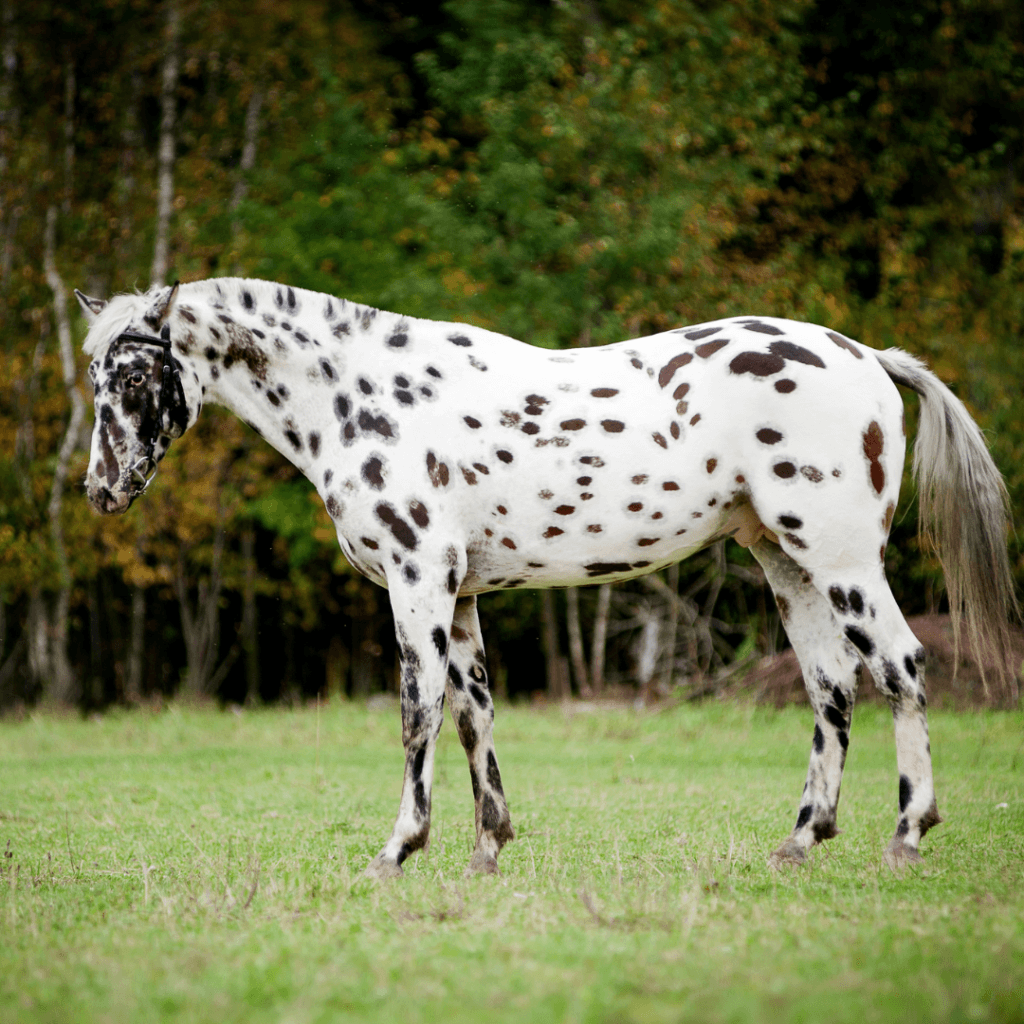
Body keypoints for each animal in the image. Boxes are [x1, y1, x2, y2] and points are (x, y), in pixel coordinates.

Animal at [75, 277, 1017, 876]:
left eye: (137, 372)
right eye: (94, 375)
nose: (102, 488)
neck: (365, 398)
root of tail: (868, 357)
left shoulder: (419, 581)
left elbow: (417, 712)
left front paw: (397, 850)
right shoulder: (459, 595)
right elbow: (472, 716)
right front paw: (487, 847)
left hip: (841, 559)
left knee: (900, 668)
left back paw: (907, 836)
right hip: (787, 564)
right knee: (832, 689)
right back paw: (800, 842)